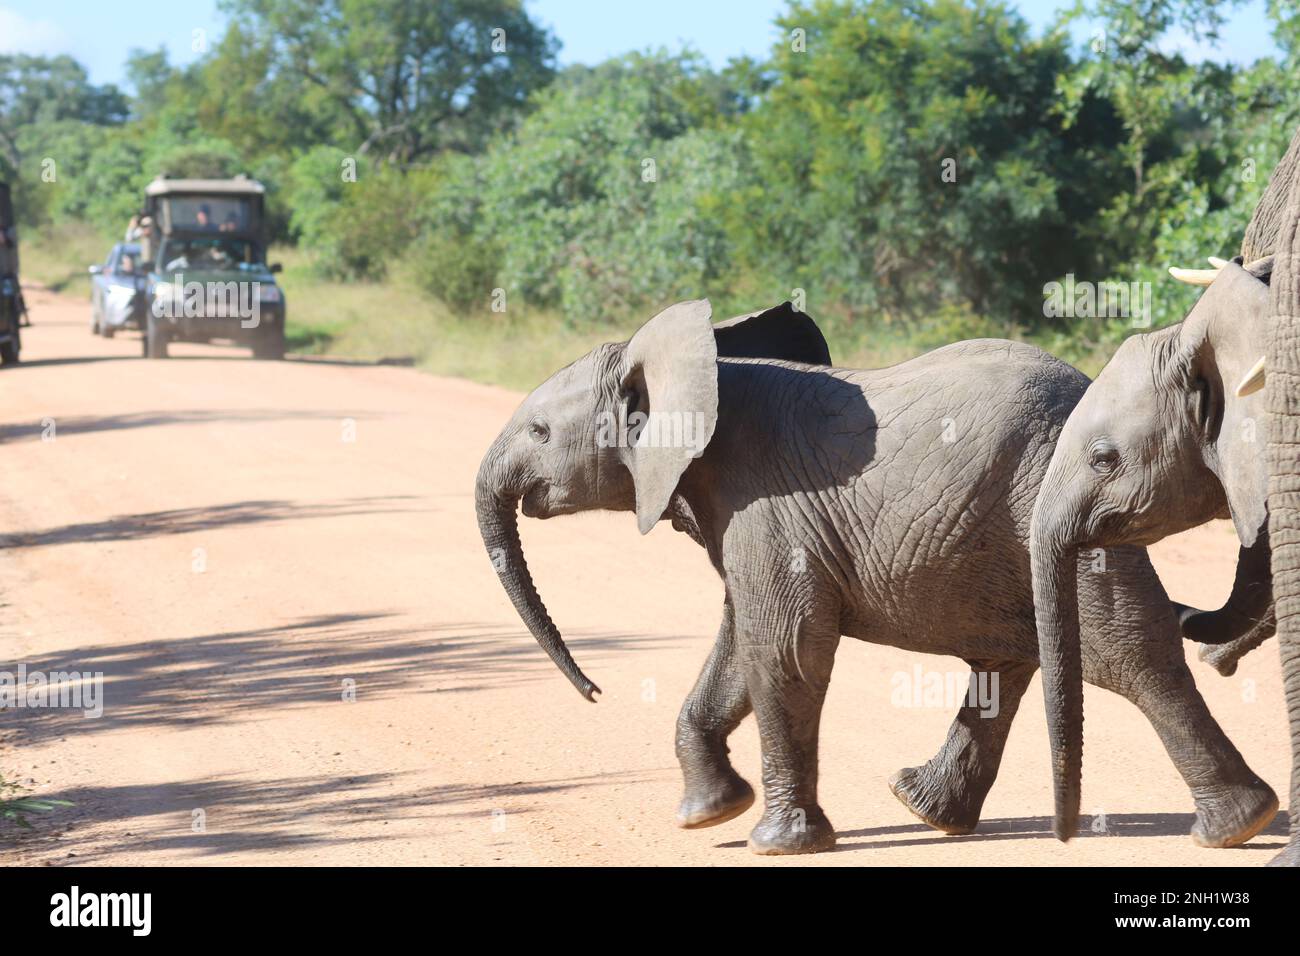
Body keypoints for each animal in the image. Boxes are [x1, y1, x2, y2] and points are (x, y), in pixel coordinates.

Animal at [475, 299, 1276, 854]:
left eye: (540, 433)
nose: (594, 692)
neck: (699, 366)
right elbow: (741, 642)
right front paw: (708, 814)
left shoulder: (765, 503)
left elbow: (784, 646)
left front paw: (776, 844)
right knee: (1015, 656)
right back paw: (924, 810)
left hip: (1064, 513)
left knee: (1129, 654)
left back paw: (1236, 828)